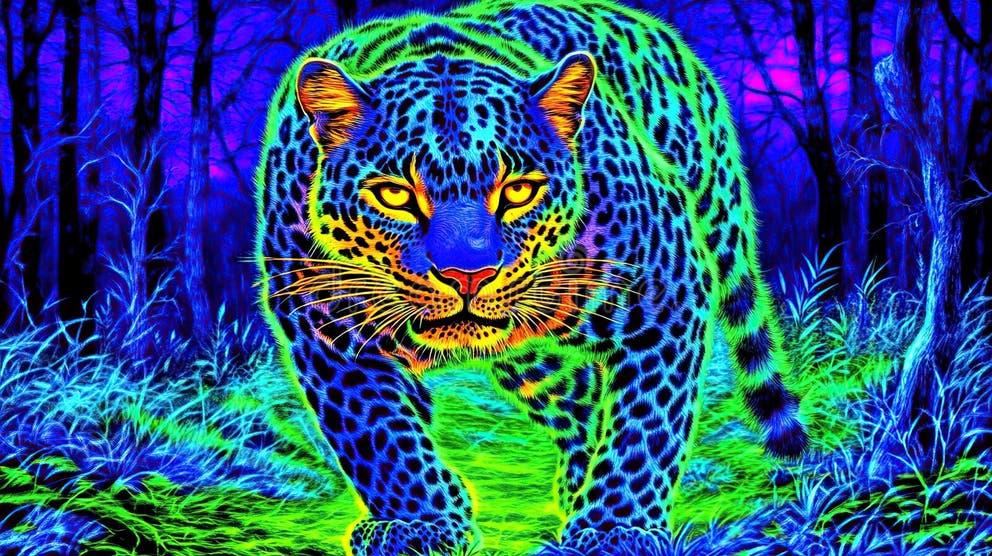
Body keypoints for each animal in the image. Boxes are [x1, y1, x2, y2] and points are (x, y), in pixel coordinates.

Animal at [255, 0, 808, 554]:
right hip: (533, 359)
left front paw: (613, 529)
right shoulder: (322, 329)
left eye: (519, 191)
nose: (467, 275)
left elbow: (644, 428)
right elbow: (379, 434)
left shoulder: (668, 301)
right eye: (394, 195)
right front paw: (420, 523)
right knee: (579, 392)